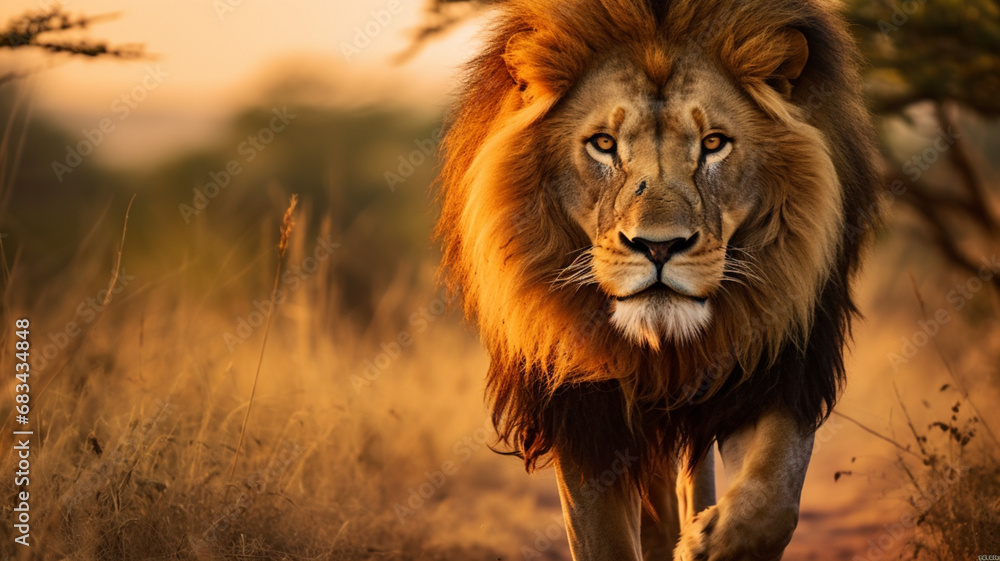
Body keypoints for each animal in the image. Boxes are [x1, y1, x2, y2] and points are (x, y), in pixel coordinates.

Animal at [435, 0, 881, 559]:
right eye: (603, 144)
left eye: (714, 144)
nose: (659, 246)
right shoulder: (584, 412)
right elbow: (603, 539)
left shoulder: (777, 366)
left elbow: (773, 502)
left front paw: (707, 543)